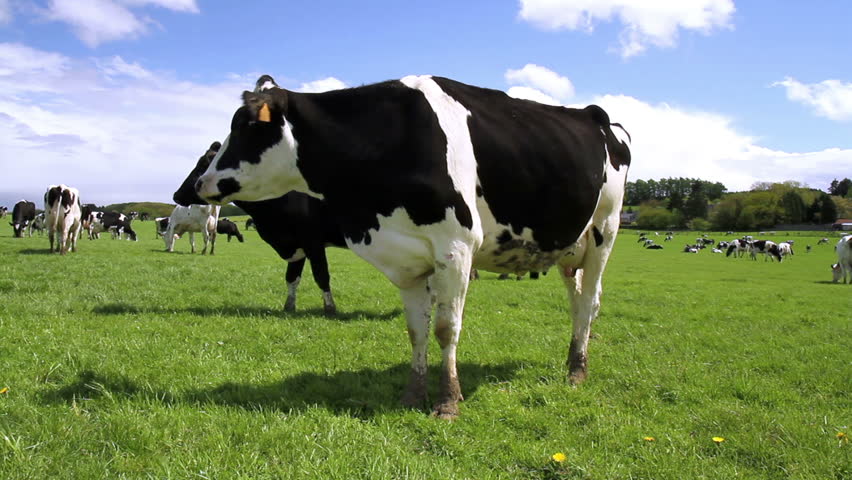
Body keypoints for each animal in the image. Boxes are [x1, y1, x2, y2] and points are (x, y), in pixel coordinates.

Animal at [174, 141, 348, 315]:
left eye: (204, 164)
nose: (176, 195)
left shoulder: (313, 242)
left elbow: (321, 275)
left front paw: (330, 308)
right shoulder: (296, 245)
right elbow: (291, 277)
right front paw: (289, 307)